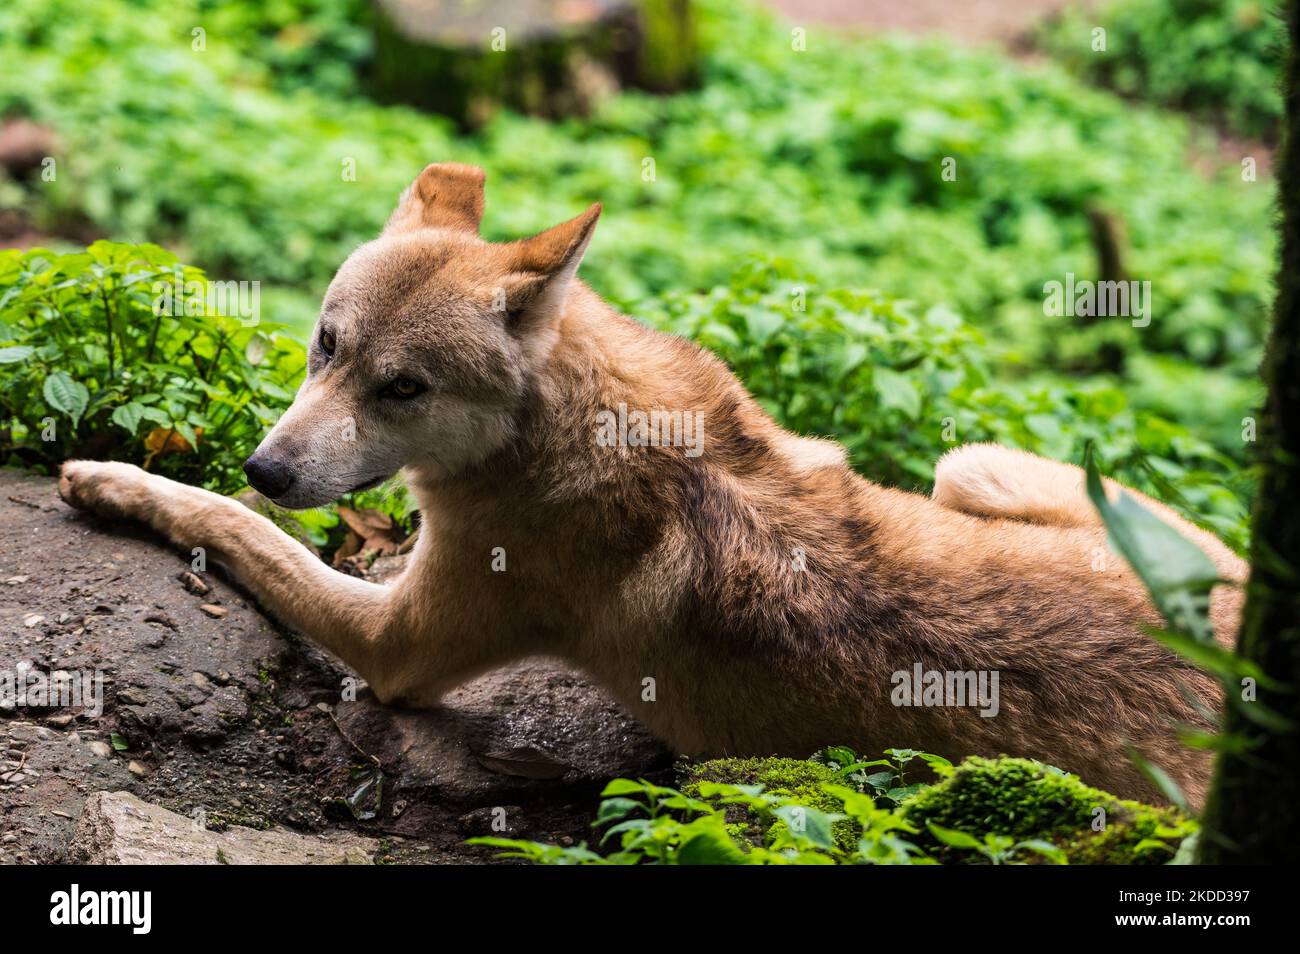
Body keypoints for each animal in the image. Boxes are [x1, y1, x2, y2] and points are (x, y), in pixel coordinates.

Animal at [59, 163, 1245, 806]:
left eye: (402, 387)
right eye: (324, 346)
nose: (269, 461)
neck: (565, 427)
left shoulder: (396, 652)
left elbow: (233, 523)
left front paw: (116, 479)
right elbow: (267, 523)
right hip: (976, 467)